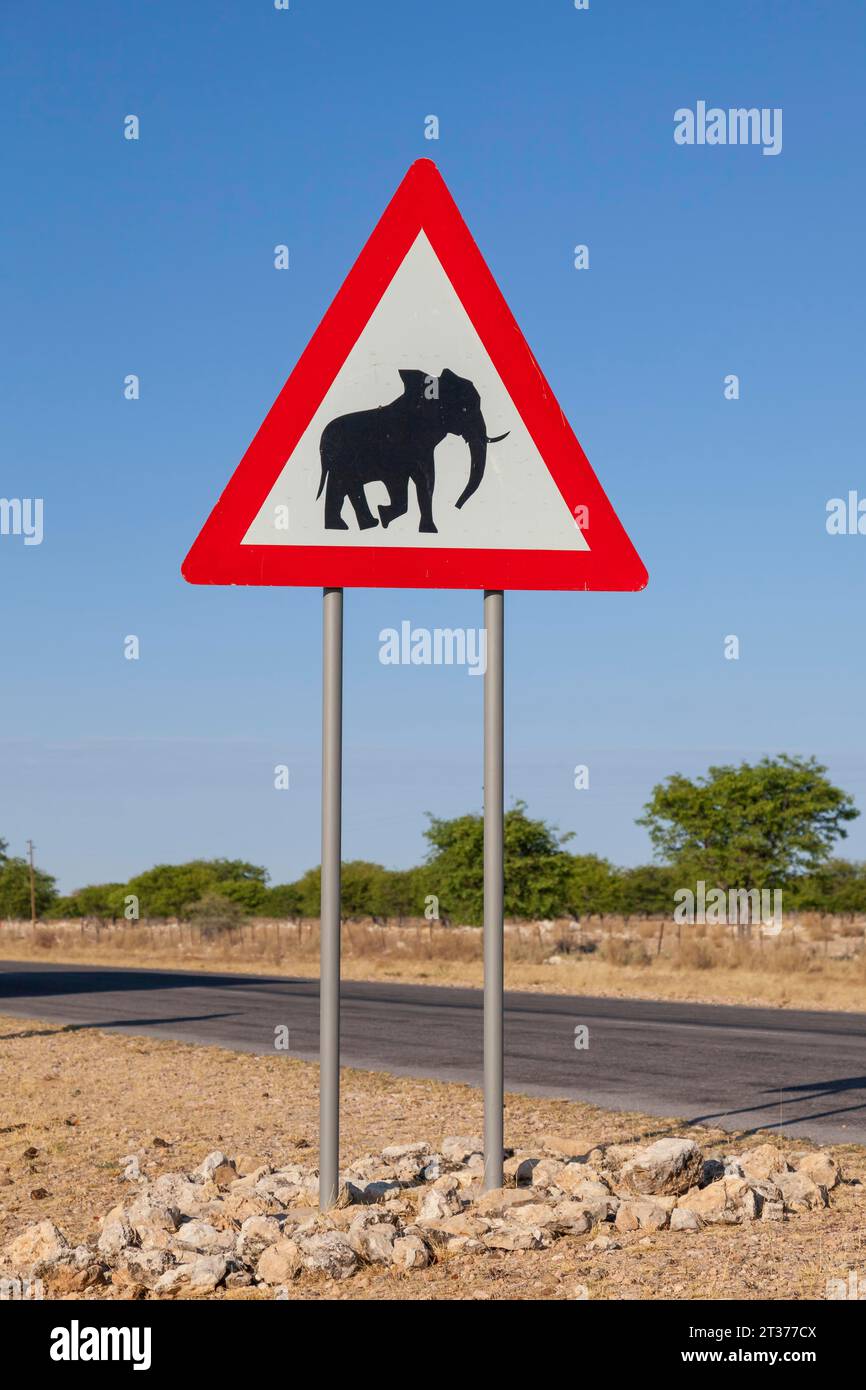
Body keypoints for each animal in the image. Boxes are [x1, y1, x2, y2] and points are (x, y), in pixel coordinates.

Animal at [316, 368, 509, 533]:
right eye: (465, 409)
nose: (456, 506)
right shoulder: (394, 450)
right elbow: (400, 484)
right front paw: (383, 515)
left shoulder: (424, 451)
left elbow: (427, 482)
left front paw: (429, 531)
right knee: (349, 485)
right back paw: (368, 524)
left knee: (338, 487)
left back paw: (342, 527)